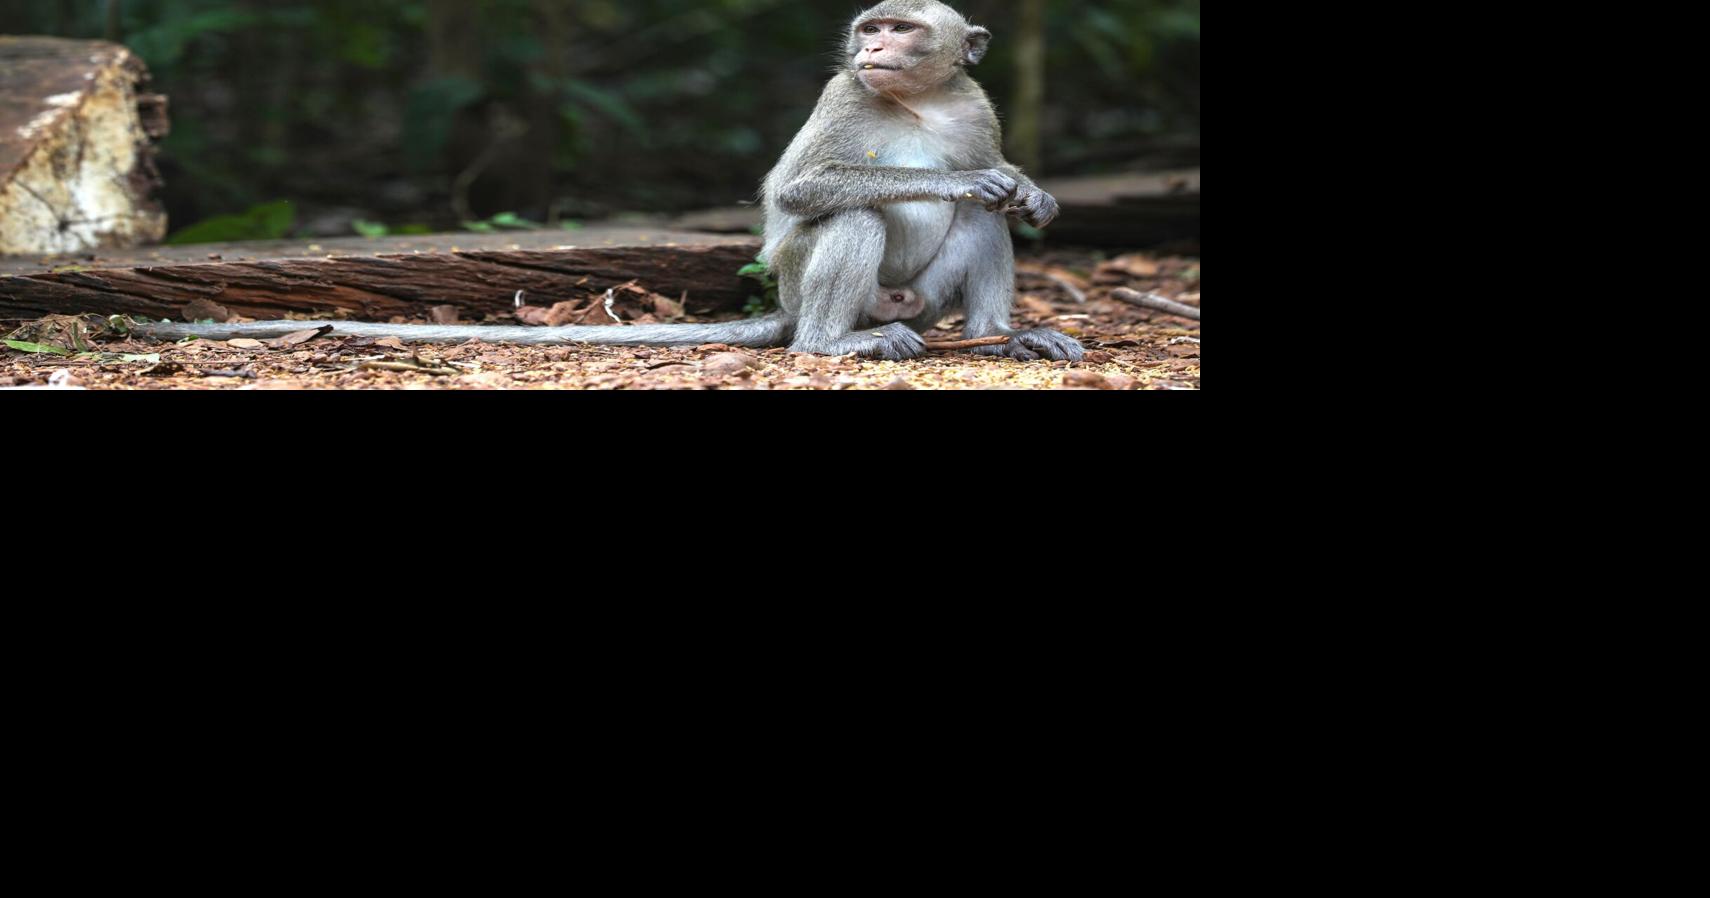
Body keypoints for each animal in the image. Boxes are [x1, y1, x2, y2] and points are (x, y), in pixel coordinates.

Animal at [136, 1, 1082, 363]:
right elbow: (803, 194)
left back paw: (1002, 336)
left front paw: (1026, 189)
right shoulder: (842, 96)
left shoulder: (973, 104)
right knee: (856, 225)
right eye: (871, 30)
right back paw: (831, 344)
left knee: (982, 230)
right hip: (819, 291)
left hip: (921, 300)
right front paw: (983, 182)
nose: (873, 46)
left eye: (904, 30)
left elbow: (995, 181)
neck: (914, 103)